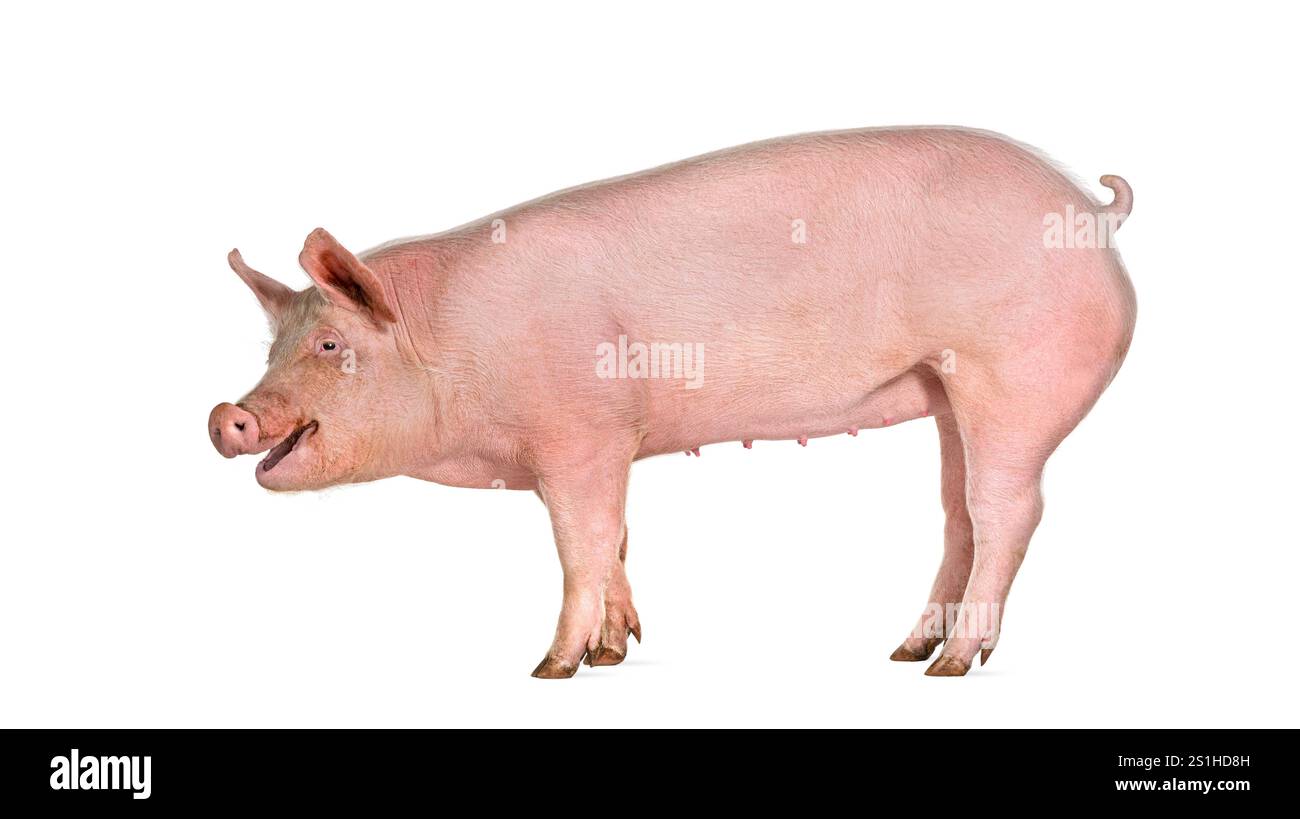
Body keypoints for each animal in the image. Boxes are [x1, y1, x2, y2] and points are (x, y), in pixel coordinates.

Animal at [208, 127, 1136, 678]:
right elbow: (615, 539)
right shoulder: (612, 444)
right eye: (273, 349)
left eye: (332, 347)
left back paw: (952, 664)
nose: (227, 415)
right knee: (958, 513)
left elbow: (579, 545)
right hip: (946, 393)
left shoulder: (580, 433)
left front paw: (552, 669)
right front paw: (615, 654)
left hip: (1012, 379)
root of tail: (1093, 213)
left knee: (1009, 510)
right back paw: (907, 651)